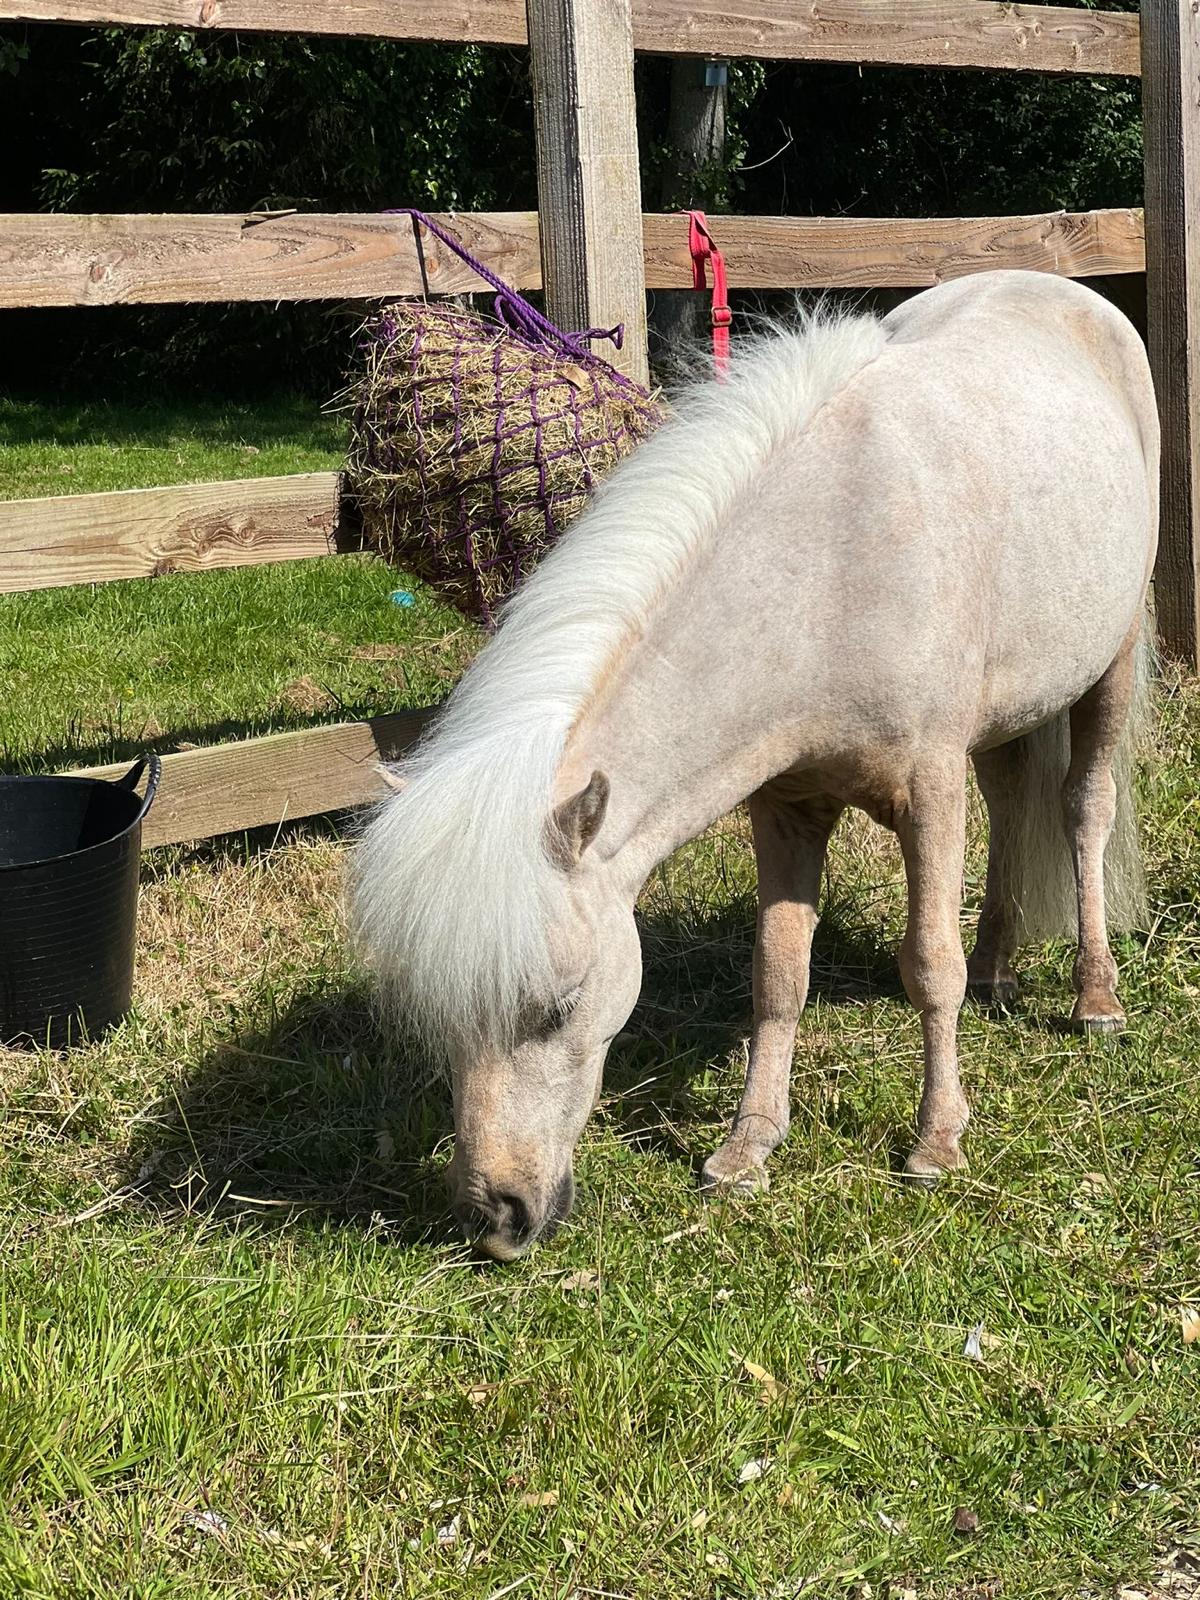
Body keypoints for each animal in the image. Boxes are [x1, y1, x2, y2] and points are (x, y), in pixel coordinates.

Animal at [350, 270, 1159, 1262]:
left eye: (559, 1005)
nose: (496, 1219)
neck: (828, 570)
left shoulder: (927, 790)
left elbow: (927, 963)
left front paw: (937, 1141)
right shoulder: (786, 808)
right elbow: (778, 976)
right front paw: (748, 1148)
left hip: (1109, 663)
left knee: (1084, 809)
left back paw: (1095, 999)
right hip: (1015, 705)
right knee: (1012, 805)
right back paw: (1000, 970)